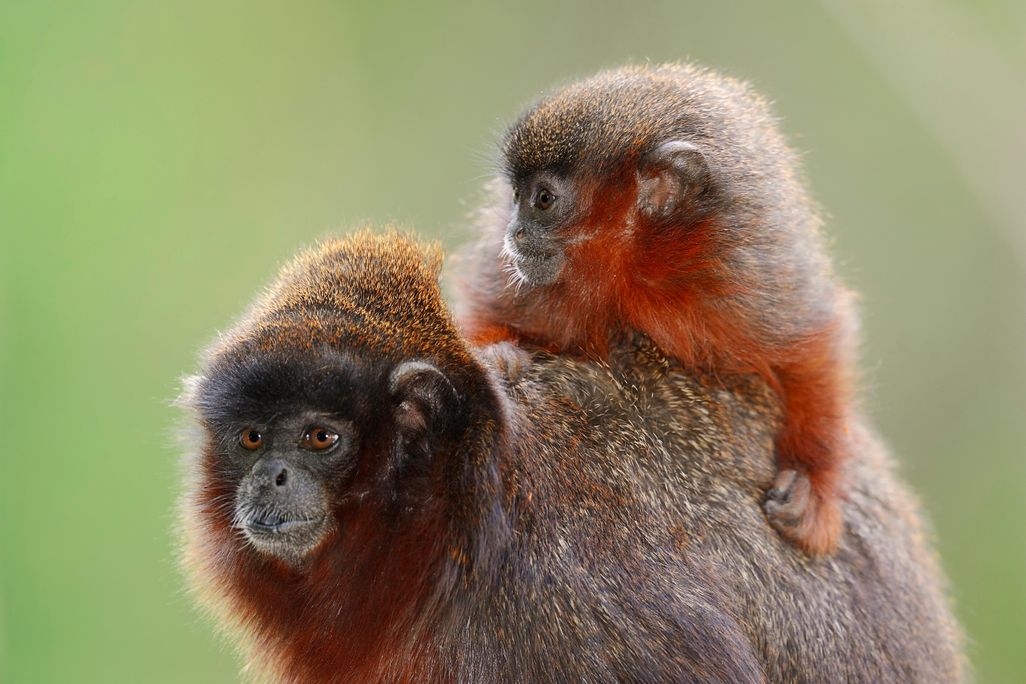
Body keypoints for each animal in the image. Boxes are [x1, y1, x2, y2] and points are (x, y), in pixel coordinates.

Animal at [453, 63, 861, 556]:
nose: (513, 231)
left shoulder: (749, 275)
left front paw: (812, 488)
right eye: (514, 196)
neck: (641, 264)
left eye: (543, 199)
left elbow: (811, 349)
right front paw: (498, 353)